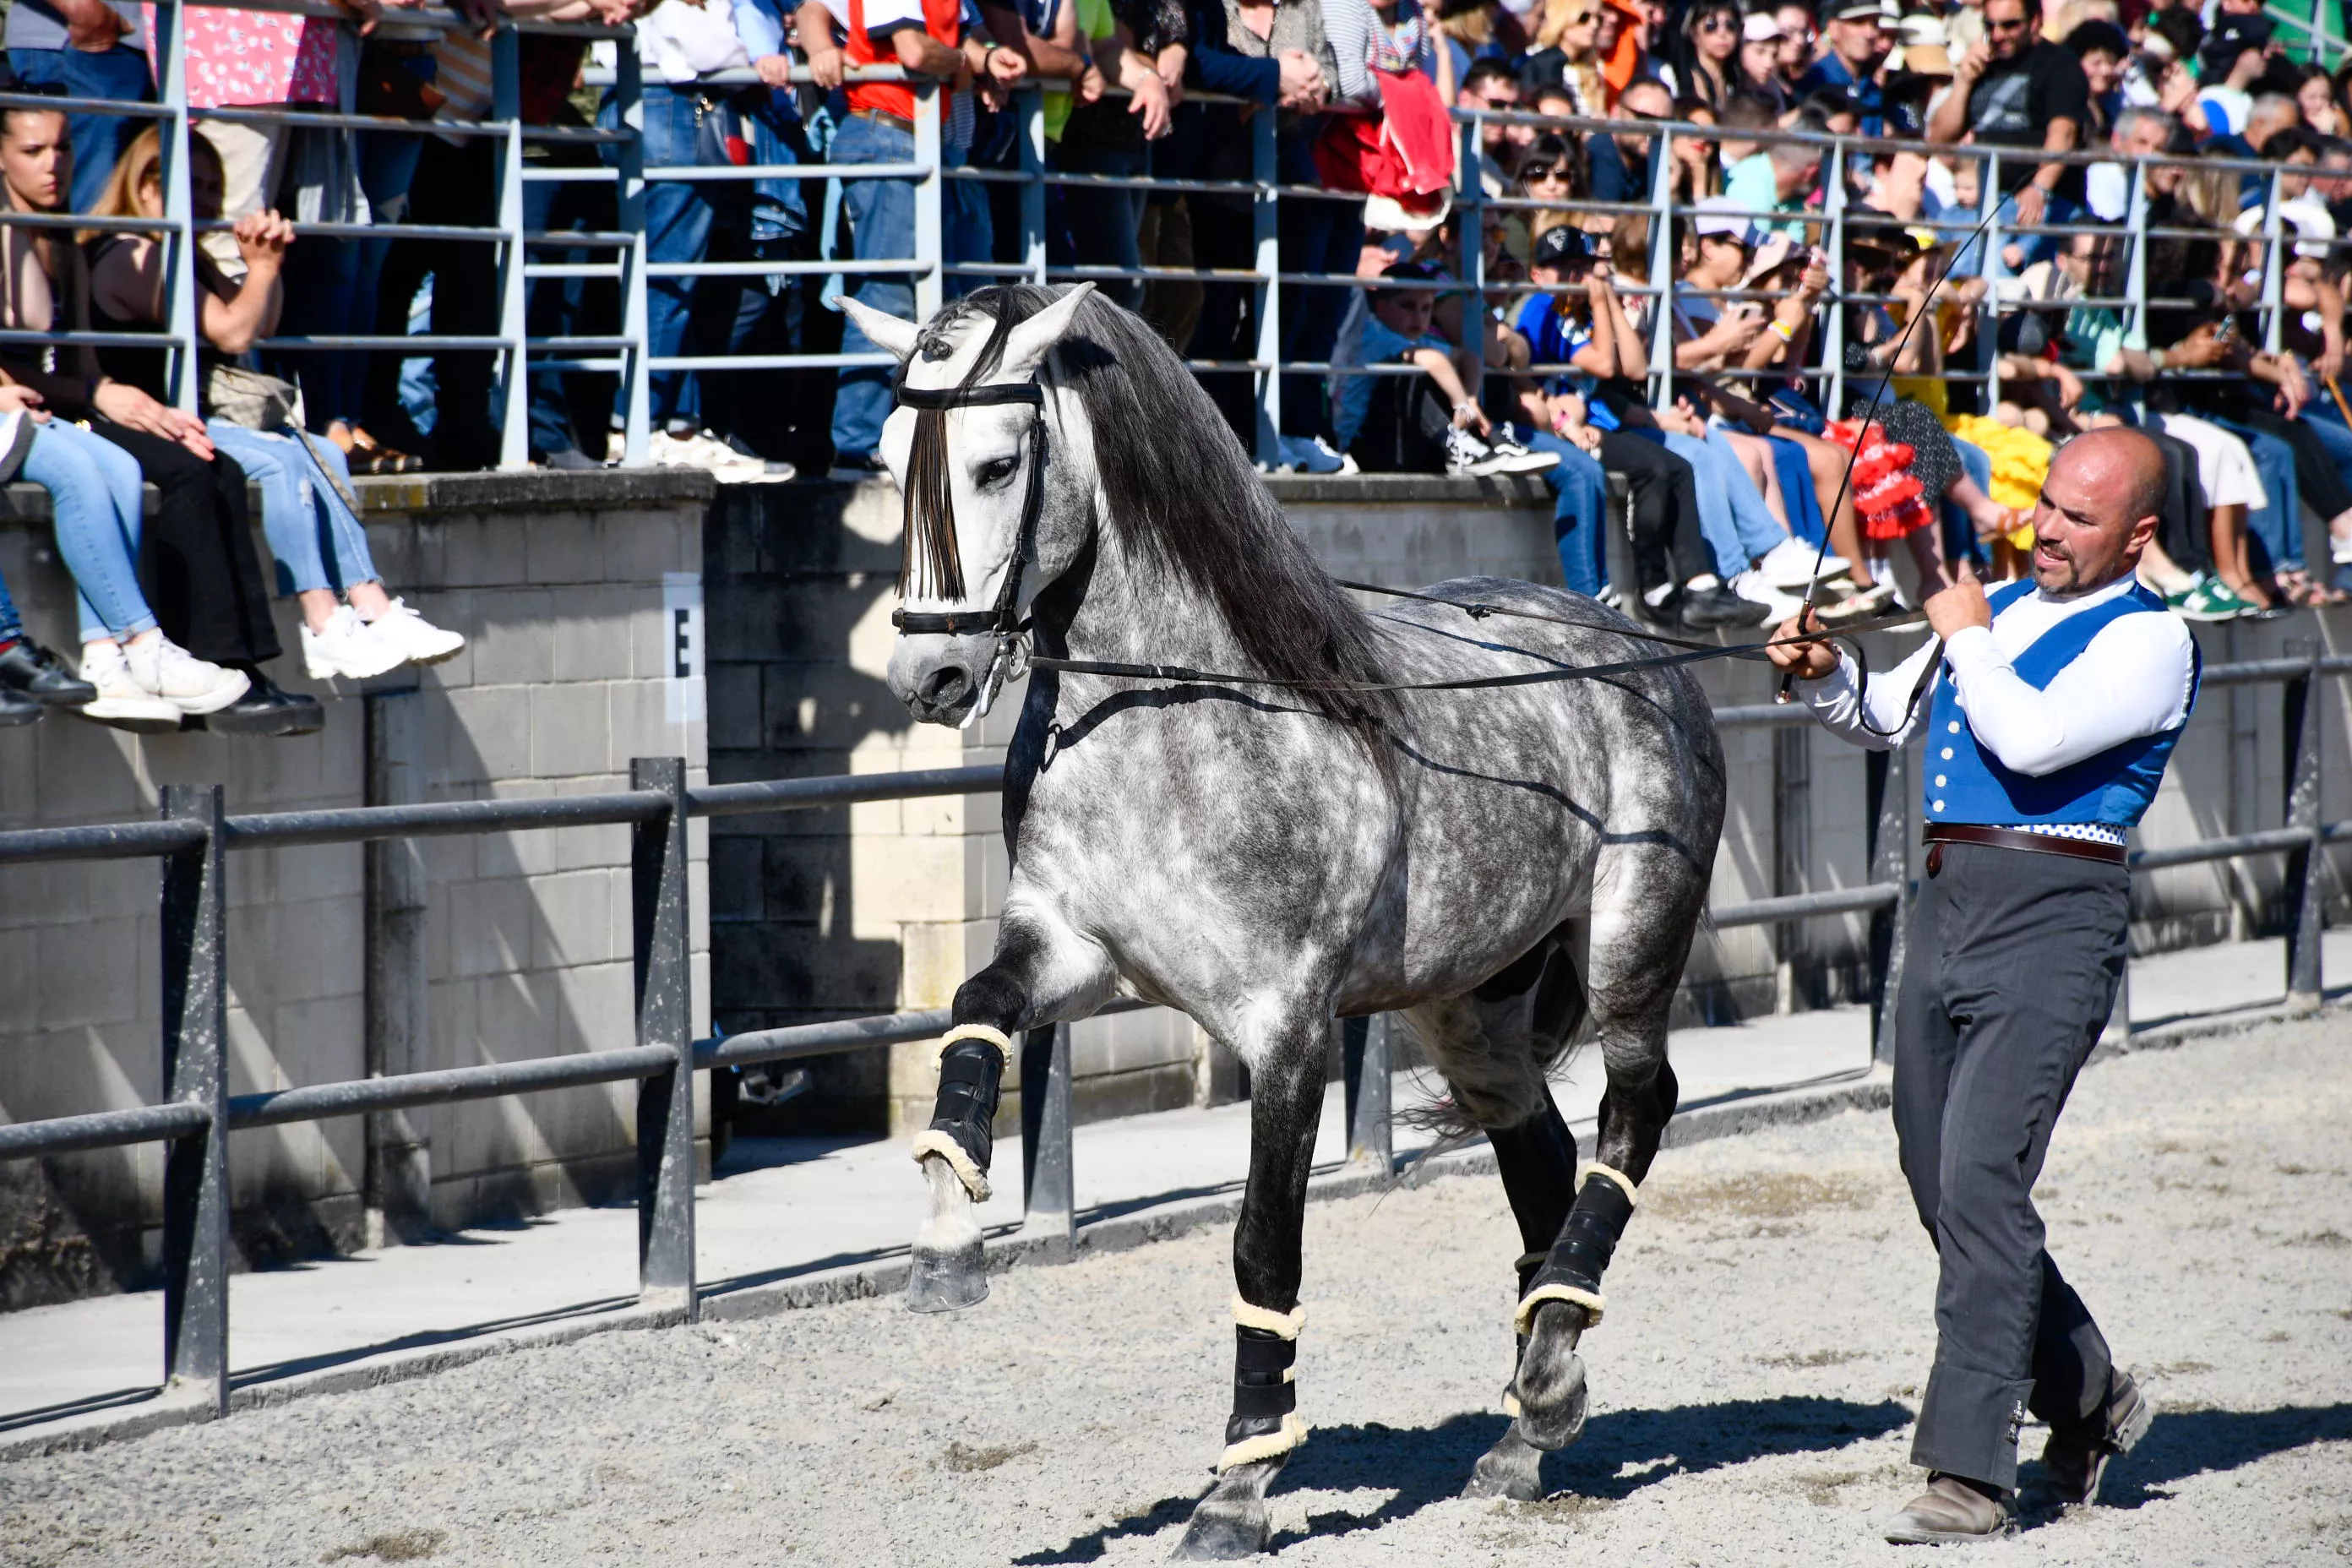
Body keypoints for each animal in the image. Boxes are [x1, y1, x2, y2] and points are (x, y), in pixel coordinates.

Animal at [836, 281, 1725, 1557]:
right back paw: (1529, 1416)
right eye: (886, 457)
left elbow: (1265, 1241)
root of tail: (1640, 649)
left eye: (1000, 463)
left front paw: (1238, 1490)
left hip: (1629, 951)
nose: (929, 680)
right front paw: (947, 1243)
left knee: (1634, 1112)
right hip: (1471, 1002)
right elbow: (975, 1014)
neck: (1173, 720)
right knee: (1538, 1146)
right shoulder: (1076, 951)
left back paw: (1548, 1384)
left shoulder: (1288, 1029)